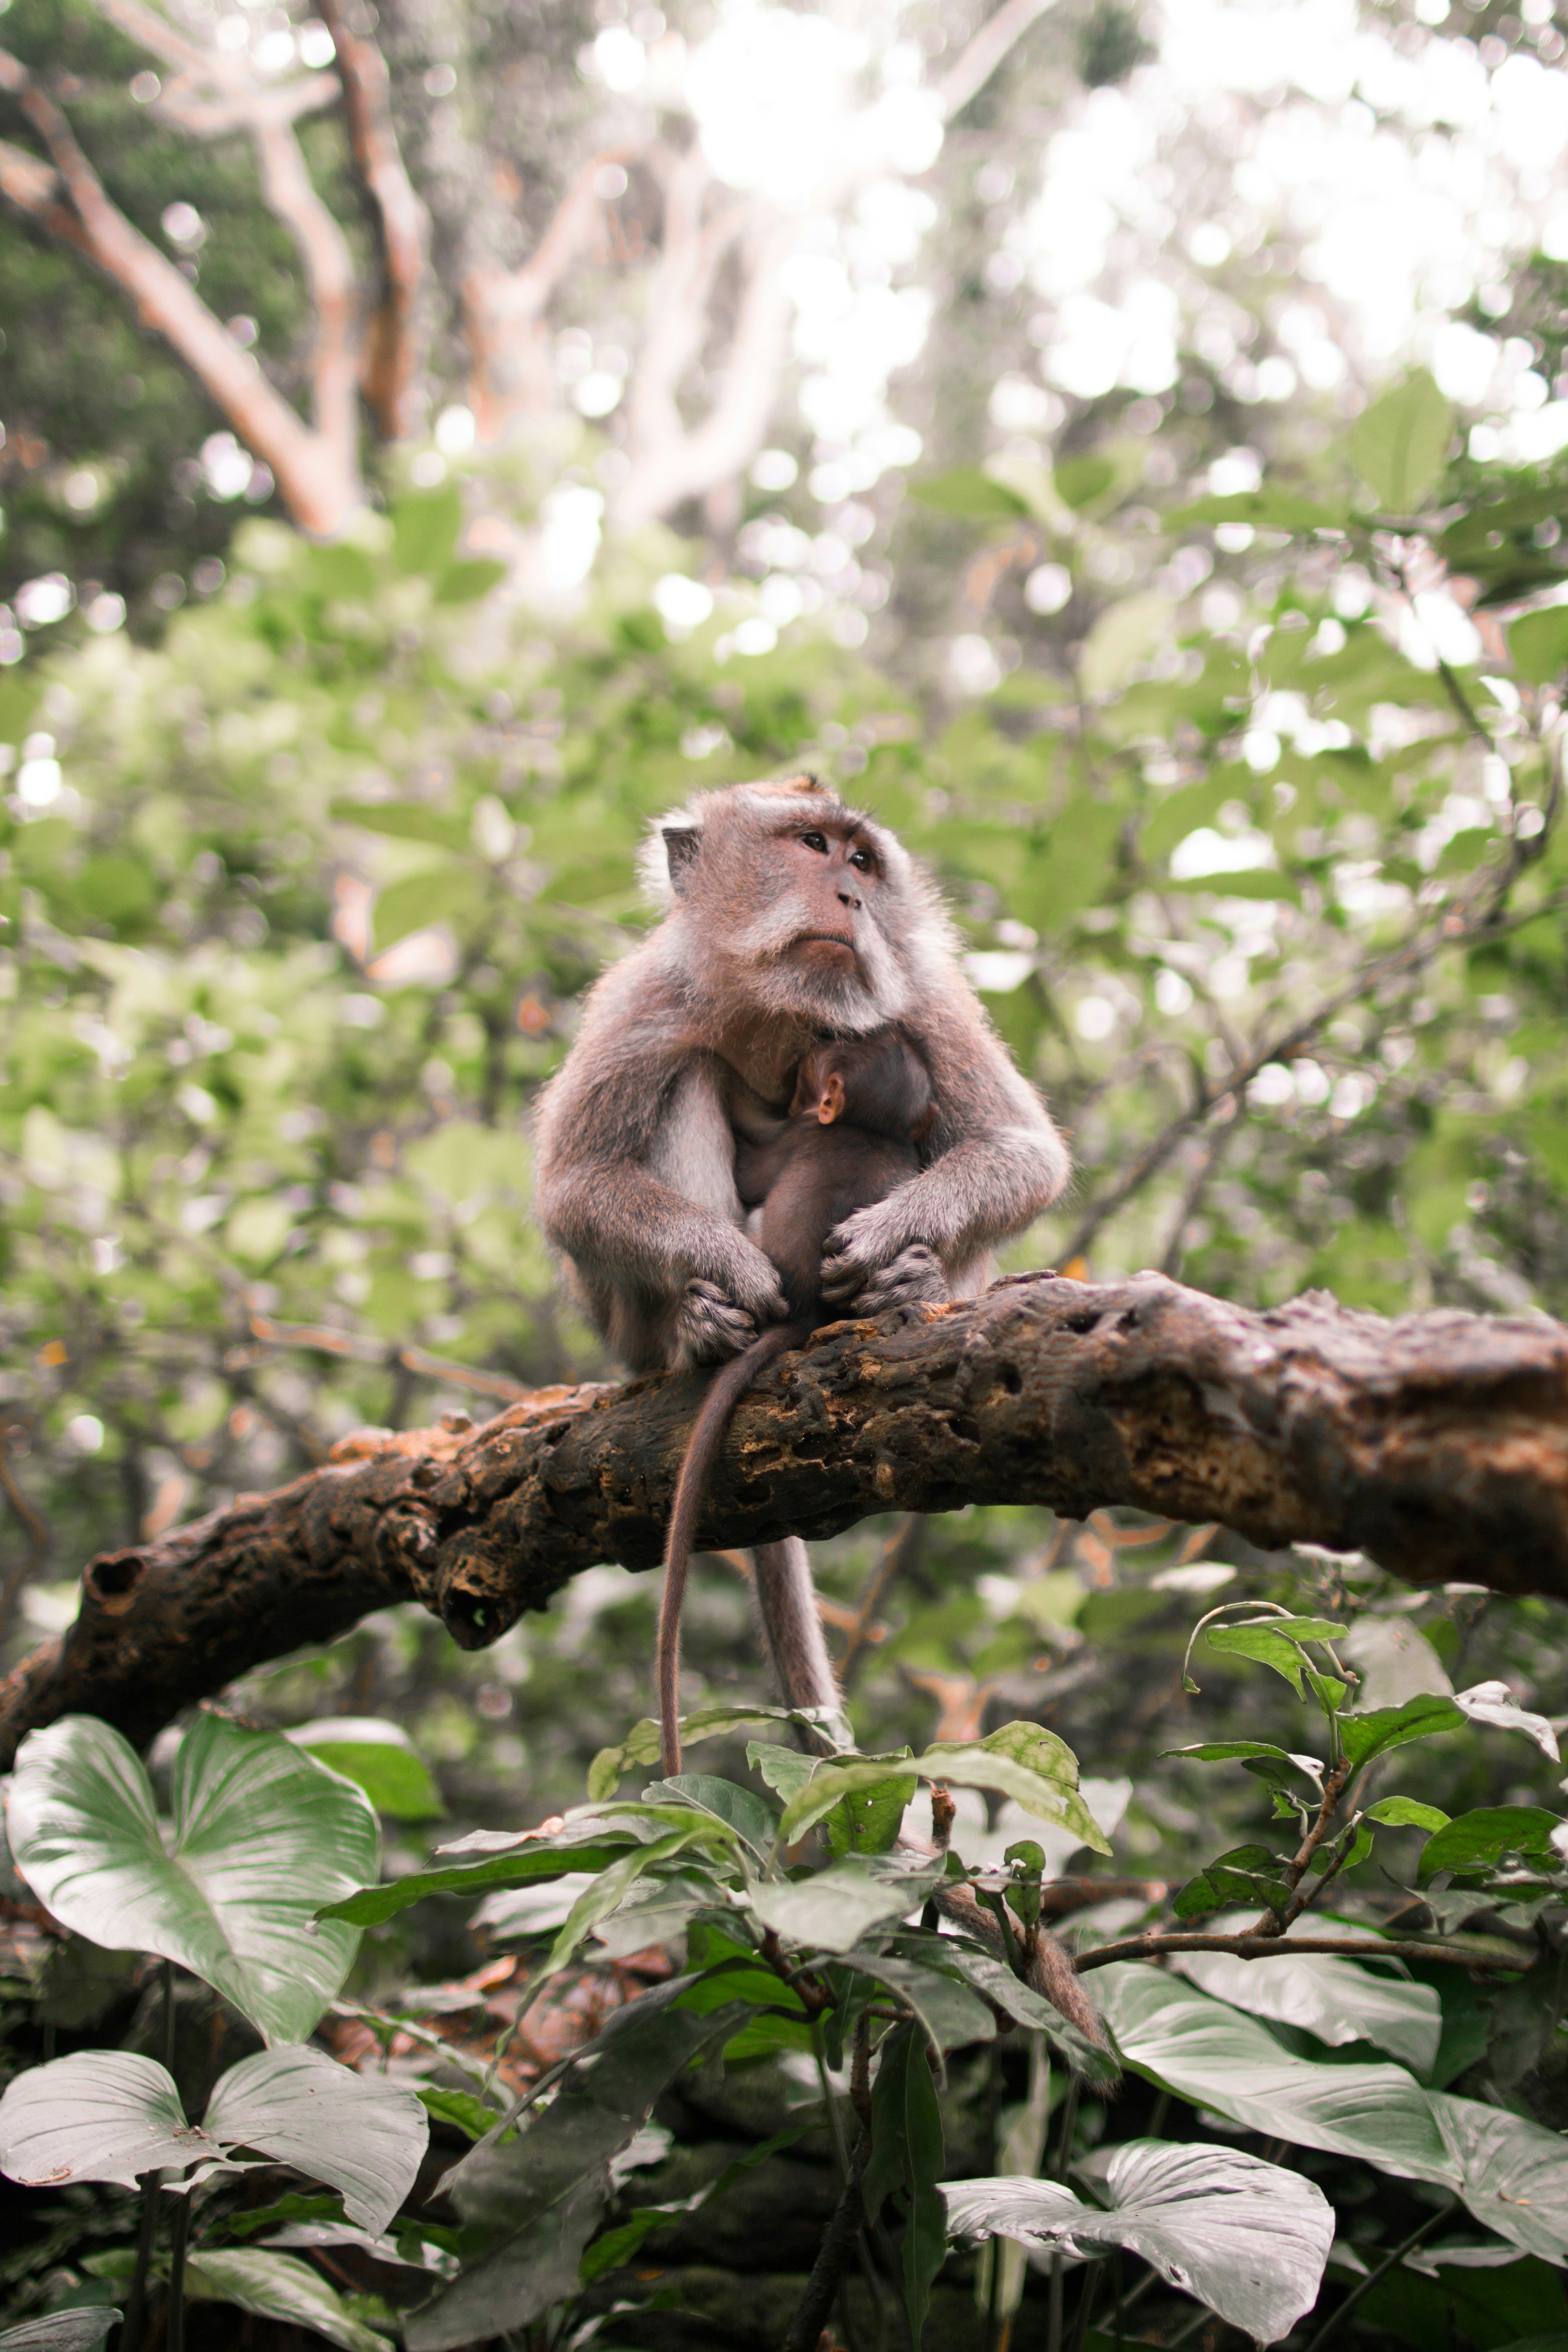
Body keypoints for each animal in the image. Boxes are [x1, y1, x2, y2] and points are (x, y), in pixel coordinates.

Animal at [655, 1027, 936, 1776]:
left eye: (821, 1061)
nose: (808, 1052)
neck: (866, 1127)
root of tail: (806, 1311)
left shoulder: (801, 1136)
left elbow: (757, 1167)